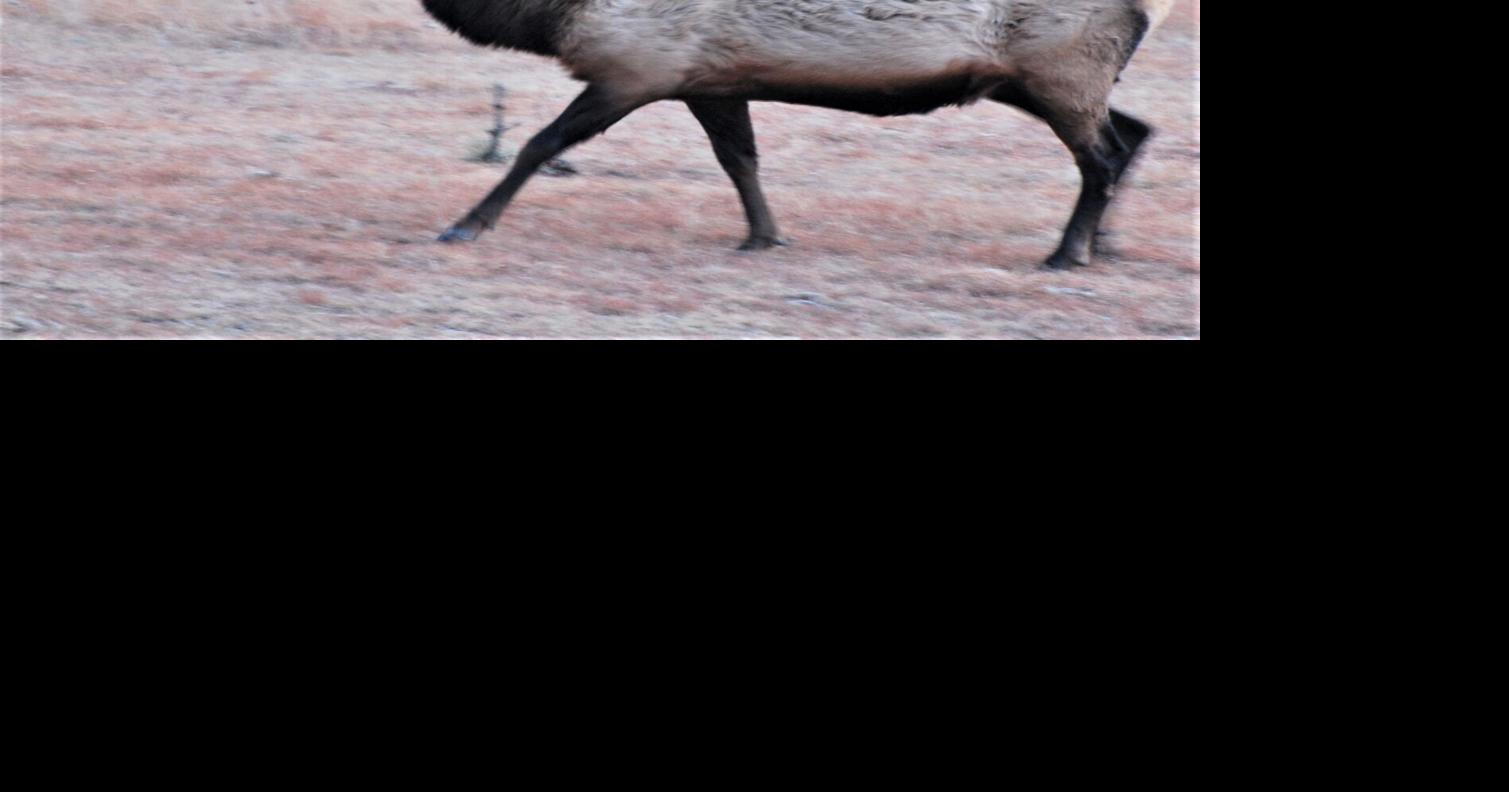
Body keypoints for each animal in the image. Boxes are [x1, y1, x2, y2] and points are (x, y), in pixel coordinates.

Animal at [421, 0, 1175, 269]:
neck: (541, 15)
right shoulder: (706, 80)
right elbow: (740, 160)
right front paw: (763, 235)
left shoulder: (638, 65)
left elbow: (538, 144)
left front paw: (466, 224)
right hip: (1036, 78)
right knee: (1134, 130)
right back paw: (1103, 242)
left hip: (1061, 68)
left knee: (1102, 155)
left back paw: (1067, 251)